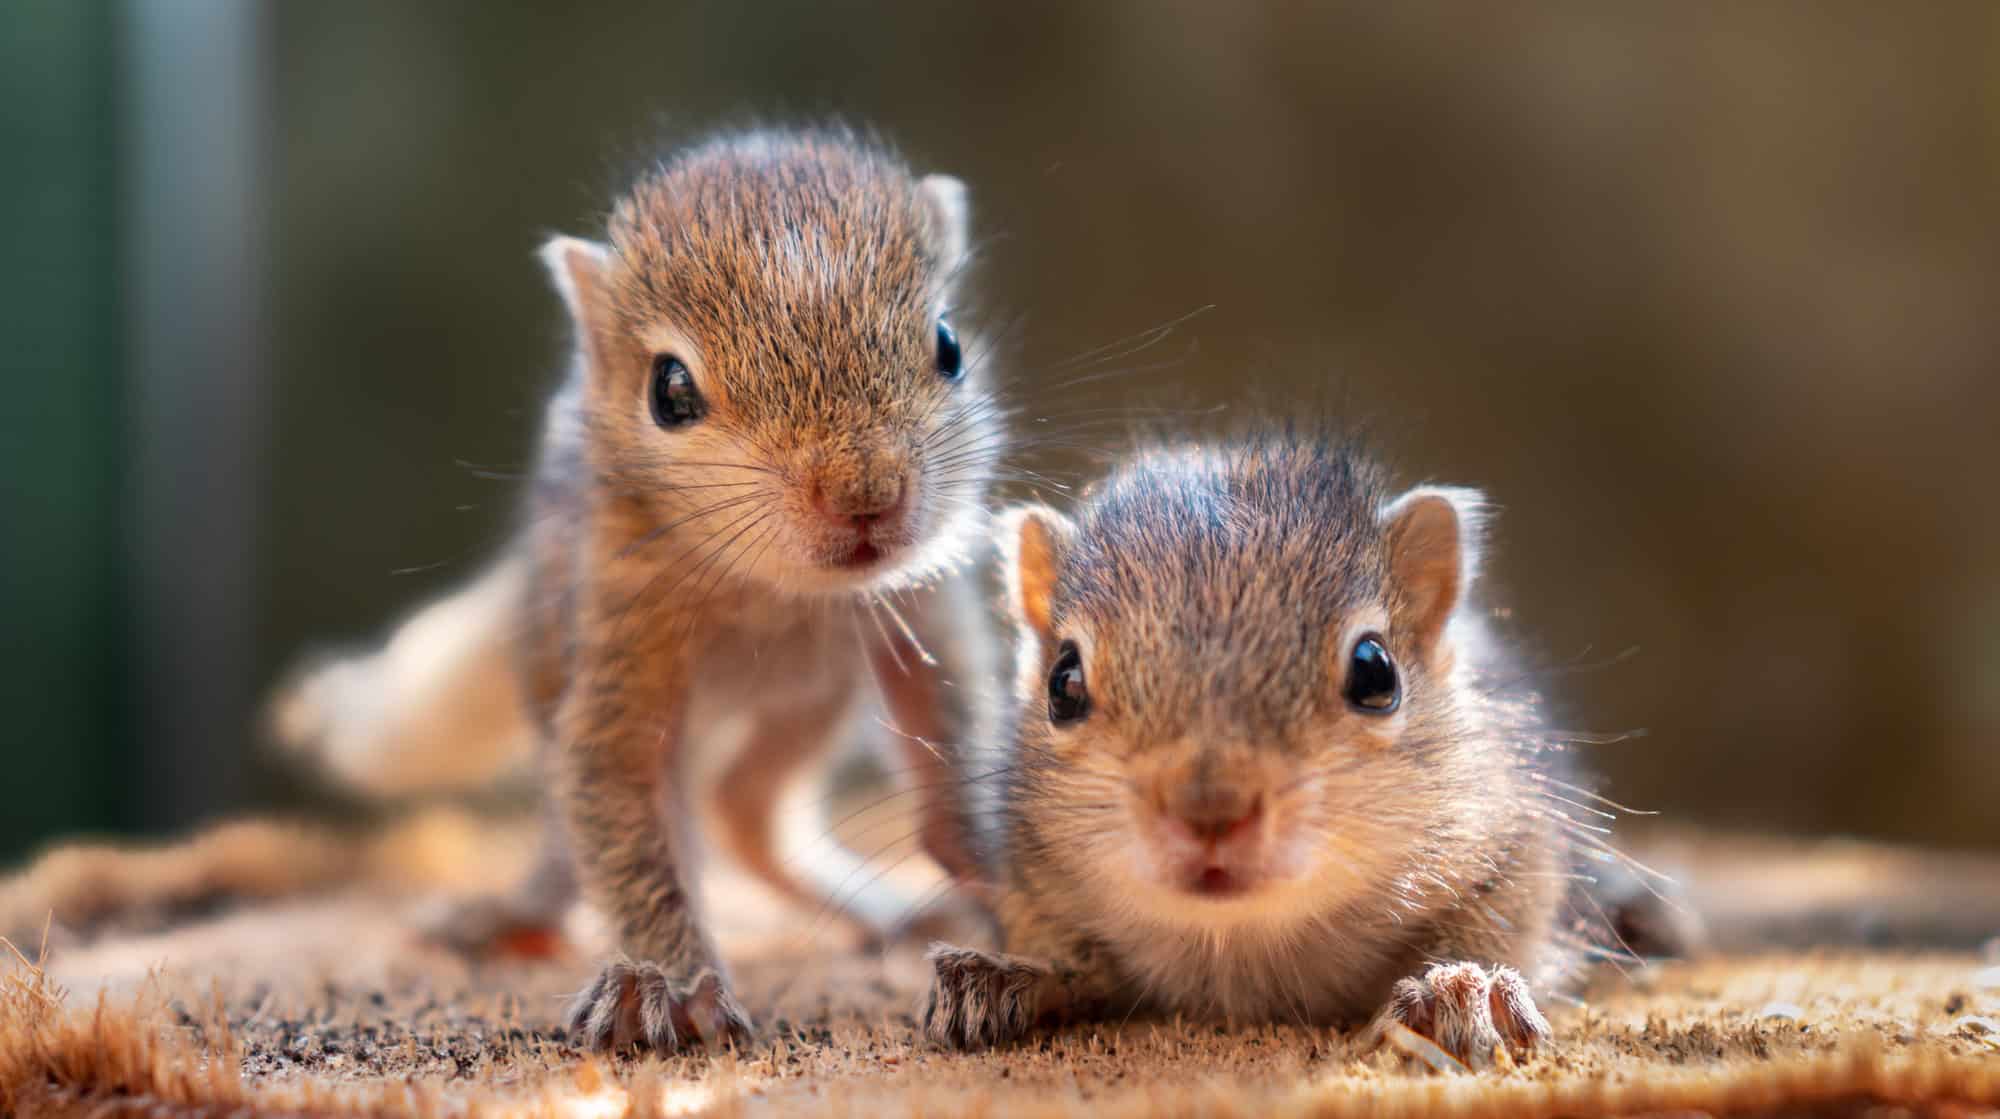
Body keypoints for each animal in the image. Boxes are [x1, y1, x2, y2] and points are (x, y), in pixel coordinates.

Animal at [270, 127, 1005, 1052]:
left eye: (949, 345)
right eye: (670, 389)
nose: (866, 494)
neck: (778, 591)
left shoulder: (921, 609)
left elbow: (955, 739)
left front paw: (1000, 896)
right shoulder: (623, 632)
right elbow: (623, 812)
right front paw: (670, 984)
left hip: (814, 700)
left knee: (746, 805)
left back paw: (885, 909)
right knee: (605, 833)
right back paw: (513, 912)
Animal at [920, 429, 1632, 1067]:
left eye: (1376, 672)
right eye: (1063, 684)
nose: (1210, 812)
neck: (1235, 939)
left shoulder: (1516, 847)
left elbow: (1498, 928)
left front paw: (1464, 988)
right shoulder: (1030, 879)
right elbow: (1068, 959)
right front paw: (1003, 976)